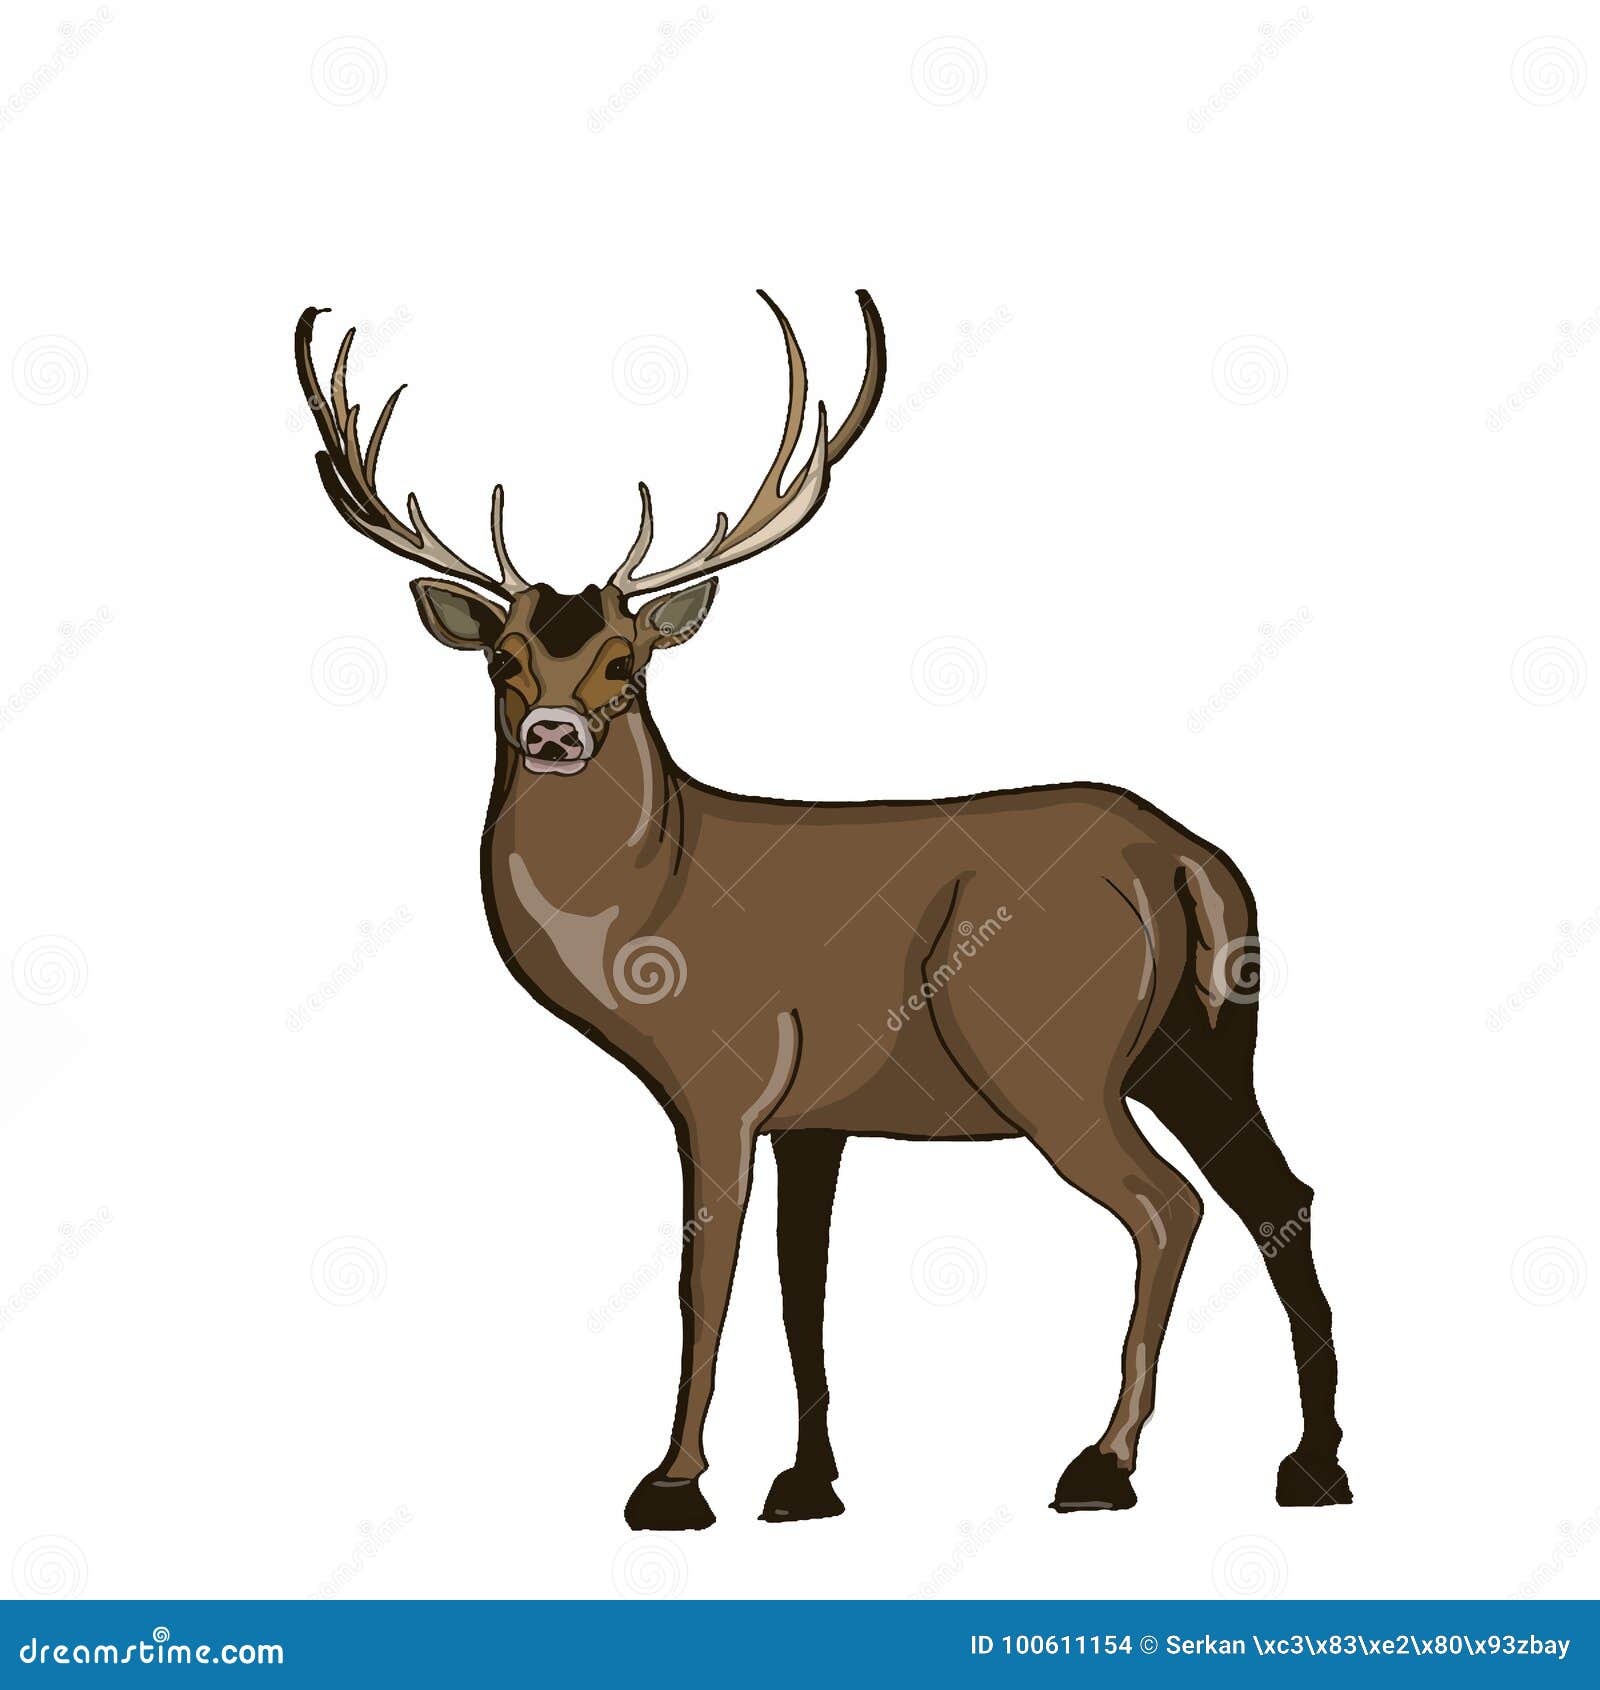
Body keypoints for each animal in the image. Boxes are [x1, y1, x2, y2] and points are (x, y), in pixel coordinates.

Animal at [294, 294, 1350, 1531]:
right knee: (1281, 1193)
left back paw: (1103, 1463)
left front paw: (671, 1482)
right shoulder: (817, 1106)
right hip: (1203, 1040)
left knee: (1165, 1206)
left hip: (1050, 1049)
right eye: (503, 659)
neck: (655, 902)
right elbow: (806, 1284)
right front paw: (806, 1482)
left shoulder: (722, 1072)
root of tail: (1183, 858)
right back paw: (1313, 1465)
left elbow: (706, 1279)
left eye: (626, 658)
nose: (552, 735)